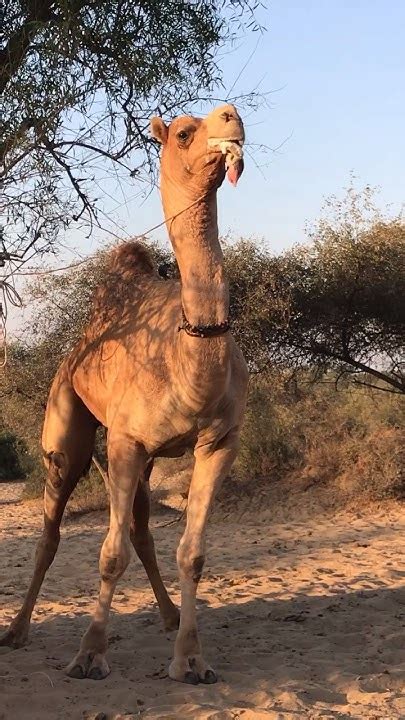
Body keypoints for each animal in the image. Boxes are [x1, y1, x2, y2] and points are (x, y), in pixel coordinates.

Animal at [0, 104, 248, 684]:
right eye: (184, 132)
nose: (232, 117)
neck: (188, 350)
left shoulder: (219, 442)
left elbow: (193, 554)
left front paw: (191, 659)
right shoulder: (124, 441)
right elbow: (109, 555)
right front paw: (89, 655)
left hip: (148, 456)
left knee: (141, 531)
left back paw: (169, 615)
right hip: (66, 428)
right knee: (52, 531)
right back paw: (17, 631)